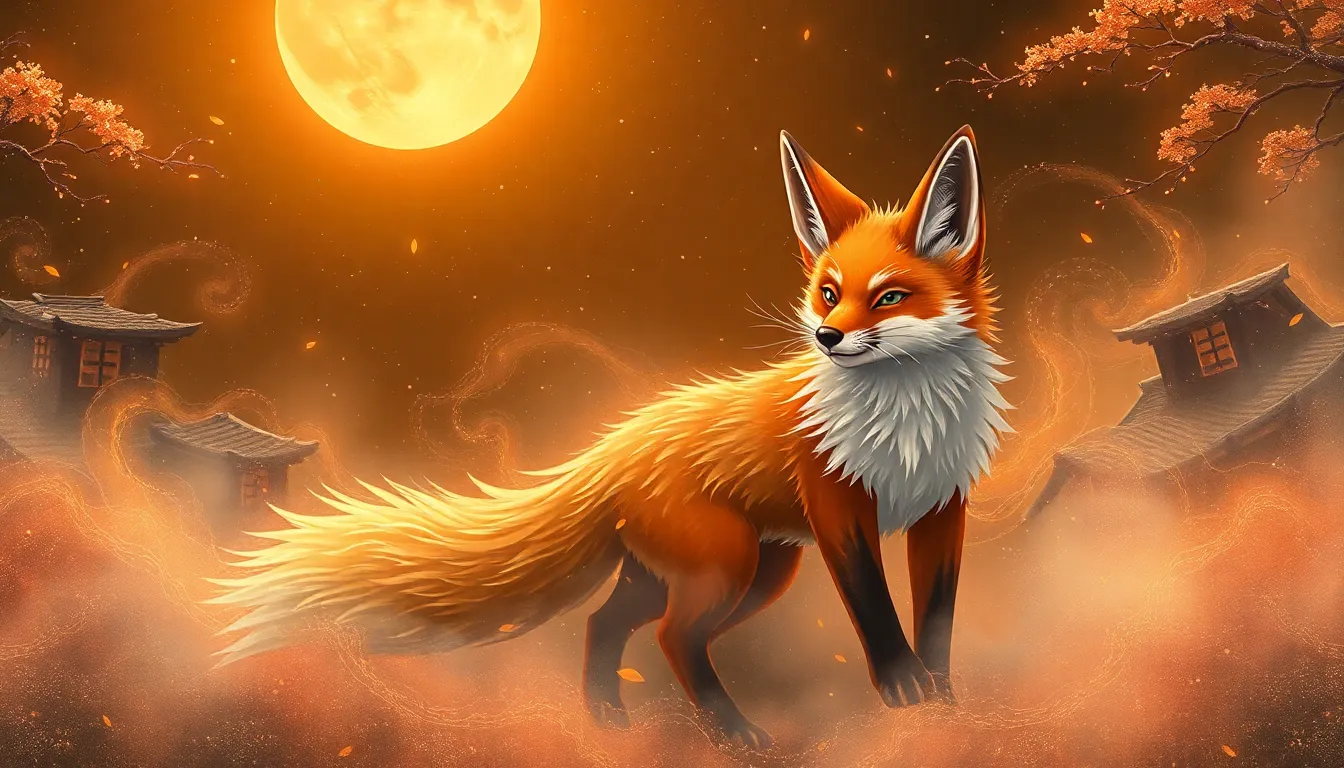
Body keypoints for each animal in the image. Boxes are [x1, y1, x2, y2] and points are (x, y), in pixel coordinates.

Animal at [208, 125, 1010, 750]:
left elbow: (938, 617)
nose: (827, 337)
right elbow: (876, 610)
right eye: (827, 291)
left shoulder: (943, 511)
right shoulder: (840, 509)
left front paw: (945, 705)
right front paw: (905, 692)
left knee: (607, 623)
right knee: (670, 637)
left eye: (890, 297)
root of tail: (615, 445)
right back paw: (732, 735)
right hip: (730, 563)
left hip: (745, 570)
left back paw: (607, 718)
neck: (909, 426)